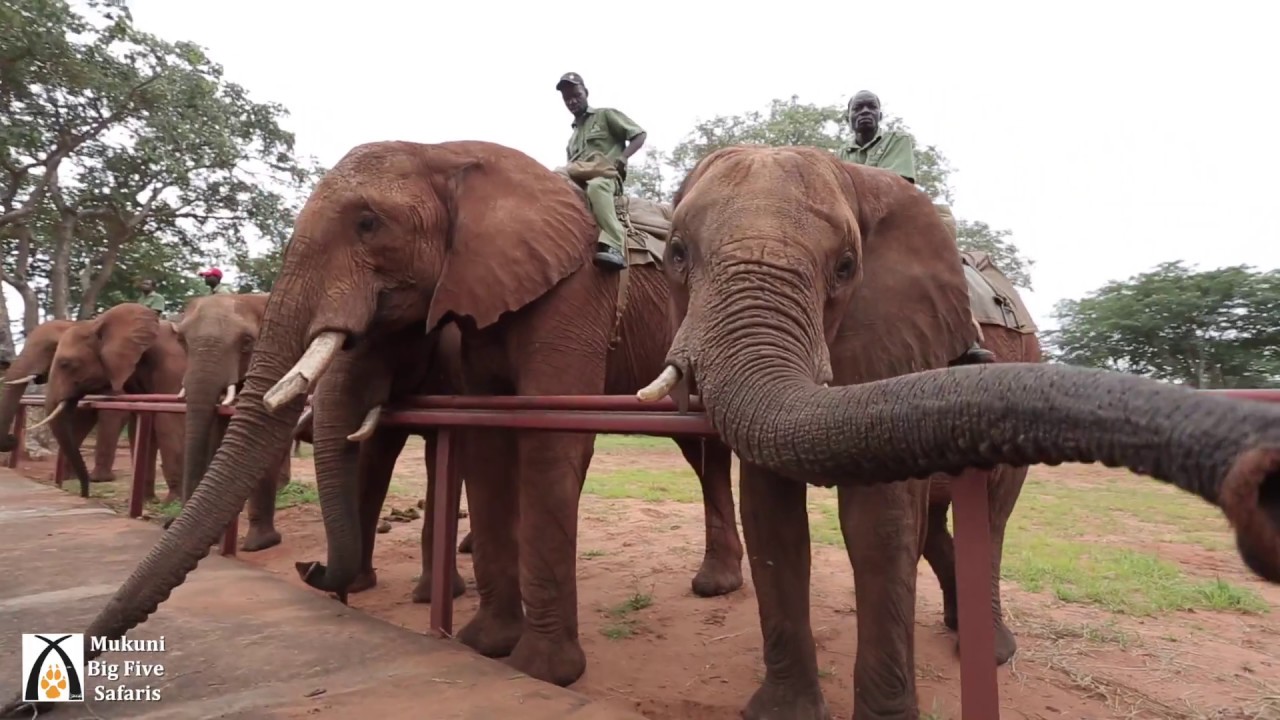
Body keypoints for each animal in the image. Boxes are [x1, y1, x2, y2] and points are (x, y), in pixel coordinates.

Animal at [0, 318, 133, 492]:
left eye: (50, 348)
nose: (12, 438)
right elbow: (79, 418)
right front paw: (65, 478)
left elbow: (112, 410)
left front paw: (98, 479)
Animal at [32, 303, 185, 504]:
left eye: (66, 364)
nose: (84, 494)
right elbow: (140, 426)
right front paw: (146, 501)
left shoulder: (172, 369)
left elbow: (167, 421)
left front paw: (172, 502)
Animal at [631, 144, 1280, 720]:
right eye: (677, 254)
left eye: (845, 268)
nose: (1258, 482)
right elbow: (773, 518)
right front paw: (783, 715)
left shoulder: (897, 337)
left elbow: (880, 527)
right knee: (938, 525)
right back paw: (956, 621)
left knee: (988, 520)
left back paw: (987, 648)